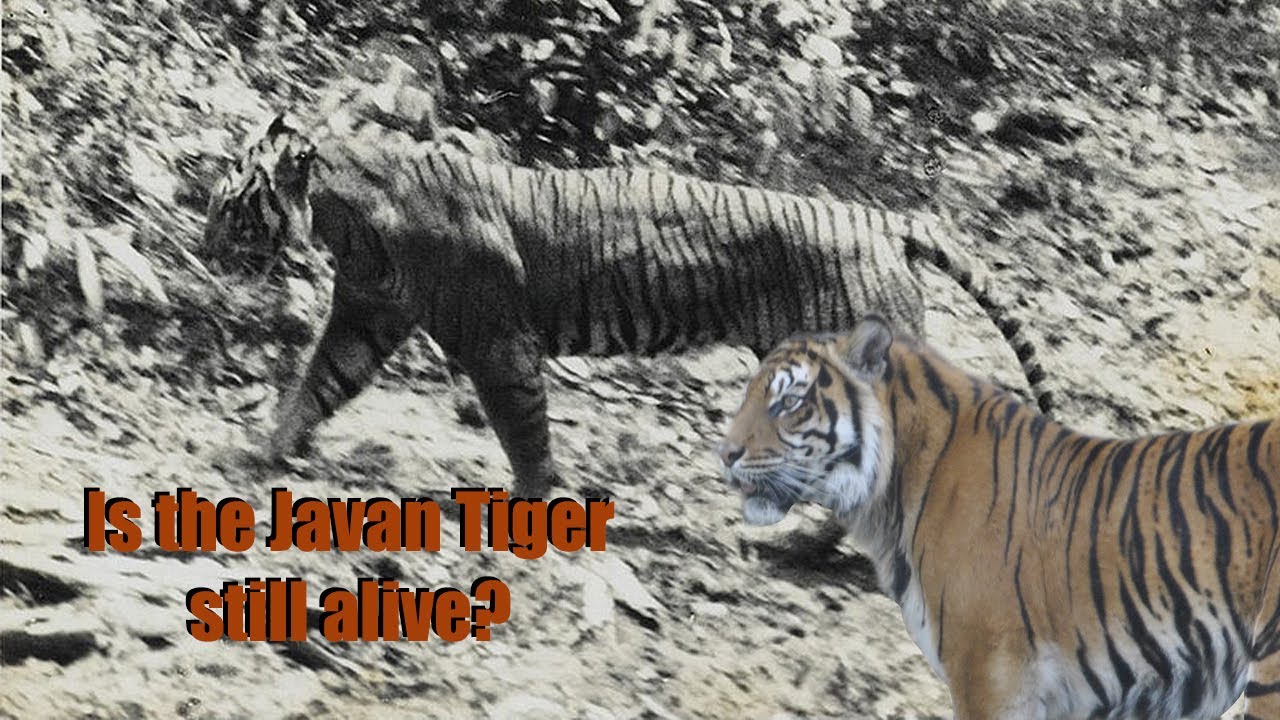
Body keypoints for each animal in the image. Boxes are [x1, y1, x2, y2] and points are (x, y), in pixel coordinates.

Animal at [204, 114, 1053, 499]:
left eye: (227, 202)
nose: (204, 246)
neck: (347, 219)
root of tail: (881, 217)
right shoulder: (364, 317)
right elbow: (317, 385)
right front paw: (264, 450)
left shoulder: (496, 340)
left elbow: (521, 422)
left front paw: (538, 495)